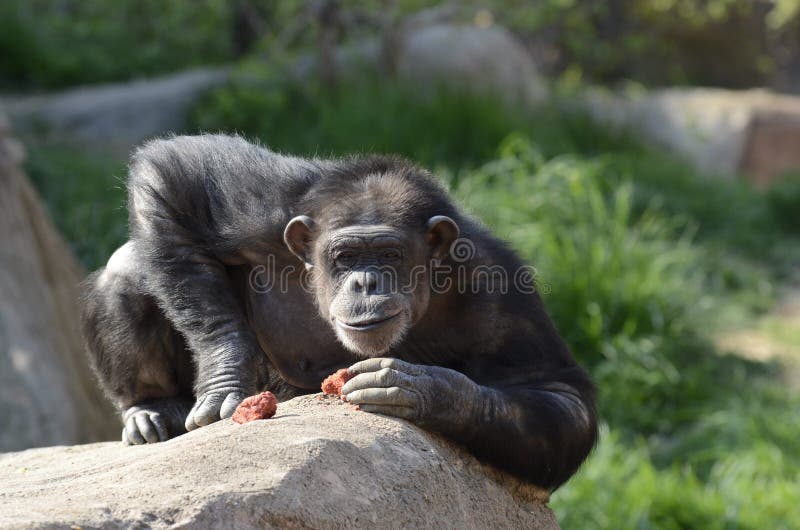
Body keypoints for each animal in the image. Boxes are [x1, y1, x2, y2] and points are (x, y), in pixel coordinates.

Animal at [81, 134, 597, 491]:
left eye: (388, 255)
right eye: (346, 256)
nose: (365, 282)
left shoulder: (502, 288)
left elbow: (558, 394)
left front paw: (428, 391)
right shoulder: (265, 206)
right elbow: (177, 176)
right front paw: (227, 375)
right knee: (127, 266)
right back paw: (151, 409)